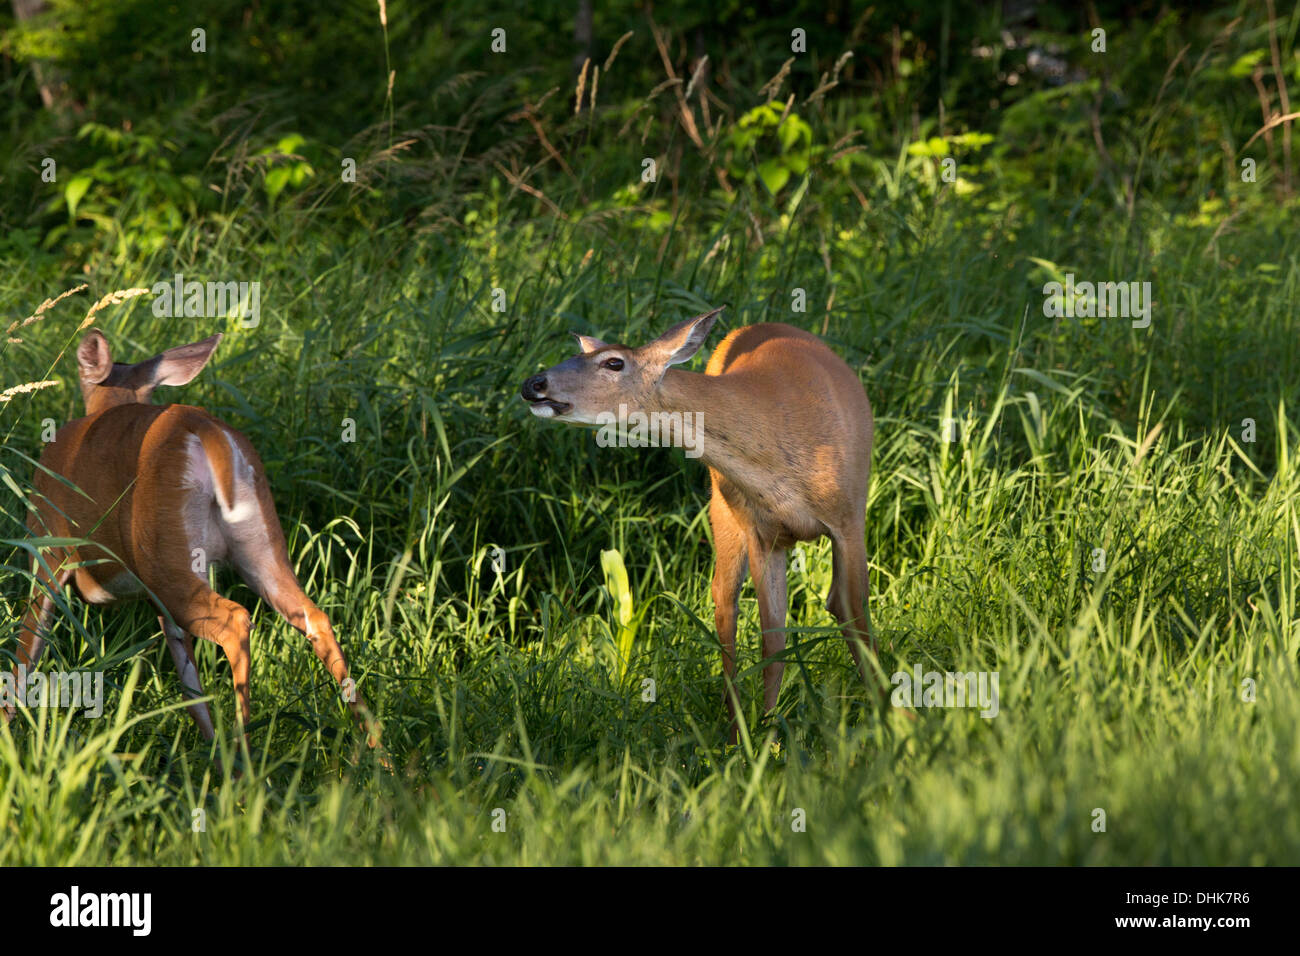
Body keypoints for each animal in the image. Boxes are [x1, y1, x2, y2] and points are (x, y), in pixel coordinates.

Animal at [5, 329, 383, 758]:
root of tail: (203, 427)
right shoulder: (154, 599)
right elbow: (189, 685)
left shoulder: (45, 550)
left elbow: (23, 656)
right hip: (253, 547)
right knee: (313, 617)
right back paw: (377, 755)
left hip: (164, 557)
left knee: (236, 620)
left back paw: (245, 755)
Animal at [520, 307, 876, 742]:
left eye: (614, 362)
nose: (533, 383)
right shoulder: (762, 533)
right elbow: (773, 641)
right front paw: (766, 737)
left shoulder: (849, 517)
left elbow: (854, 613)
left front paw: (890, 714)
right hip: (723, 509)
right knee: (724, 601)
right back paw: (735, 728)